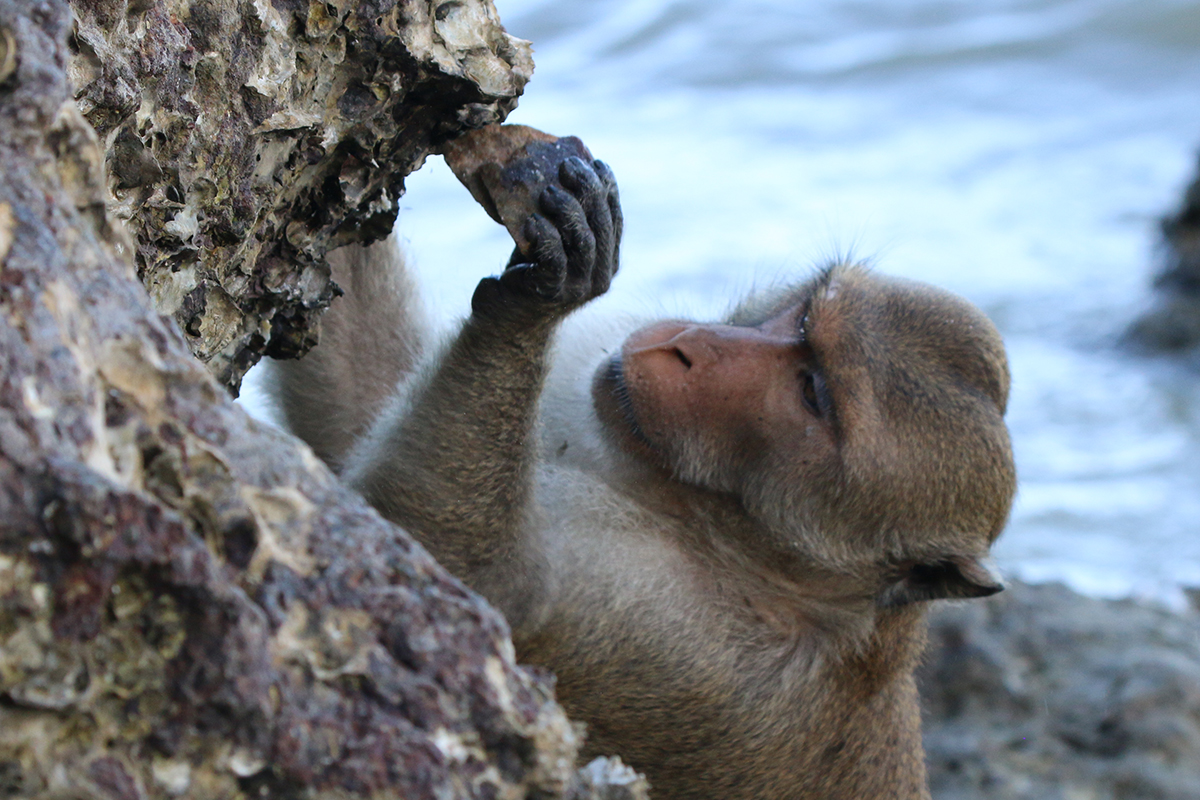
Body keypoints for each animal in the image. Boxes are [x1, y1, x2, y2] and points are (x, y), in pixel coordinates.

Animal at [266, 155, 1016, 799]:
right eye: (802, 320)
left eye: (812, 393)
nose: (687, 346)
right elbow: (358, 415)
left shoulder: (667, 635)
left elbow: (455, 573)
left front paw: (540, 296)